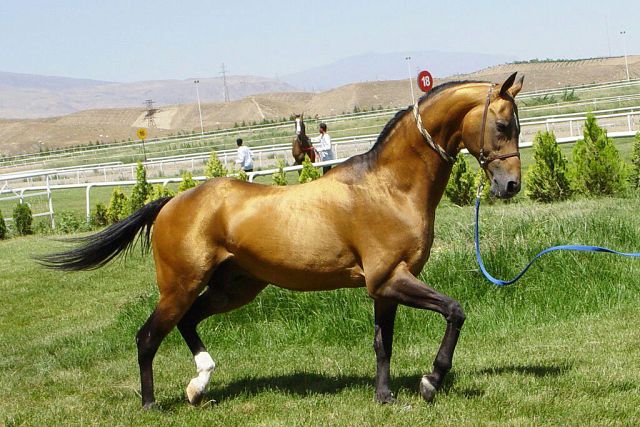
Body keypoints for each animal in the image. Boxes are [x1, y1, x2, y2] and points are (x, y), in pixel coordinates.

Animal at [39, 72, 524, 409]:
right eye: (503, 125)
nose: (511, 186)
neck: (389, 187)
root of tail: (172, 202)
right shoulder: (390, 279)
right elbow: (454, 311)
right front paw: (429, 382)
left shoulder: (385, 286)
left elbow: (382, 343)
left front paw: (385, 397)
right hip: (181, 285)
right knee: (147, 337)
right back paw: (152, 403)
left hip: (234, 288)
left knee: (187, 322)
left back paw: (200, 384)